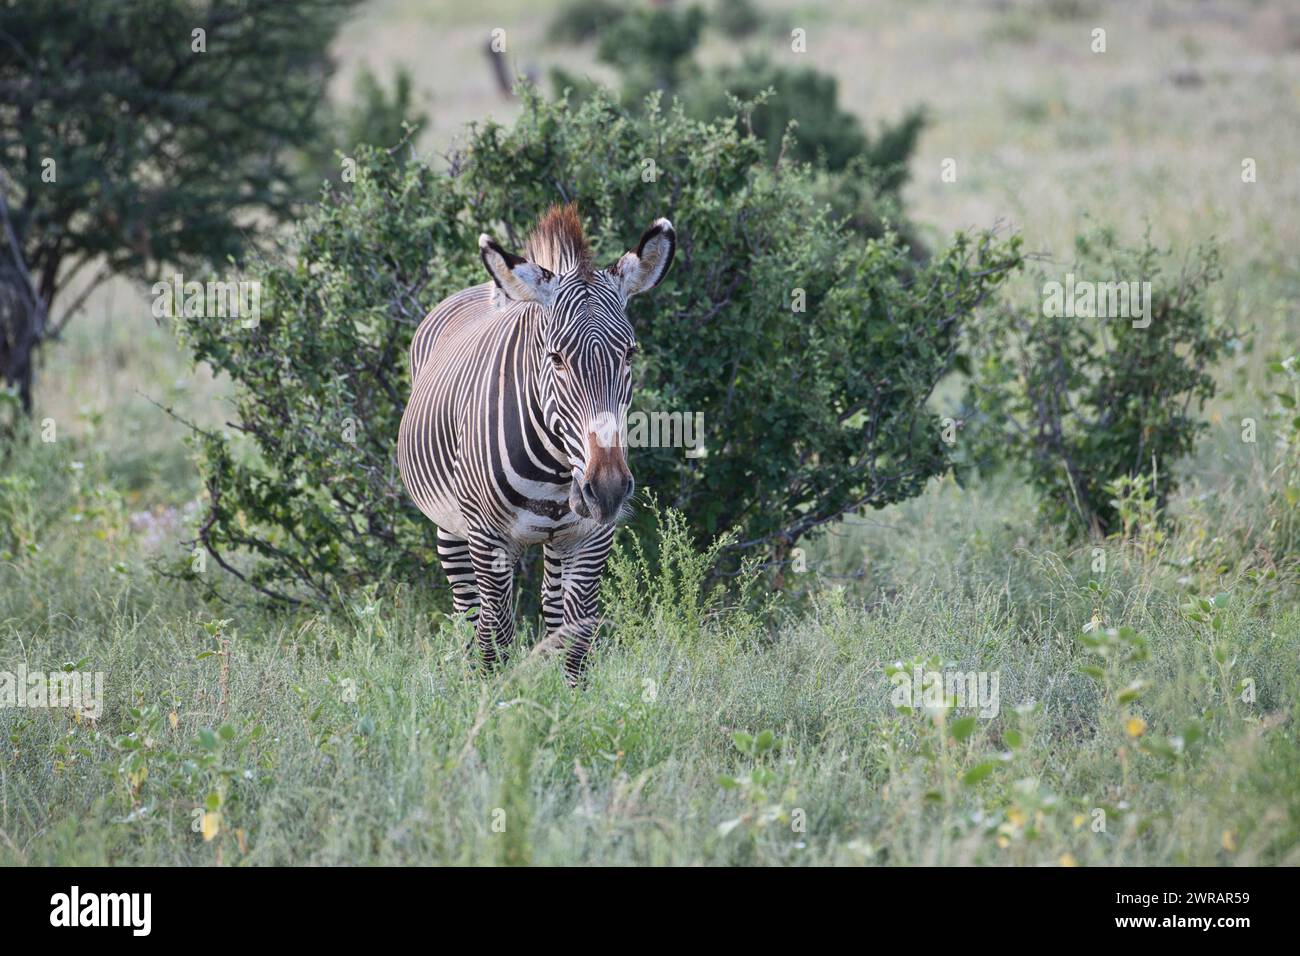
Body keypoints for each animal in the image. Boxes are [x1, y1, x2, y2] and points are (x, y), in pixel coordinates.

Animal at [397, 204, 676, 680]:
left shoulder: (590, 537)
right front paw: (492, 699)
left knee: (550, 610)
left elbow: (576, 643)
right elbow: (496, 640)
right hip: (451, 528)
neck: (556, 468)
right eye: (556, 358)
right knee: (470, 616)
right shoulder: (488, 539)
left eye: (630, 354)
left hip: (556, 543)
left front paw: (562, 700)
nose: (607, 489)